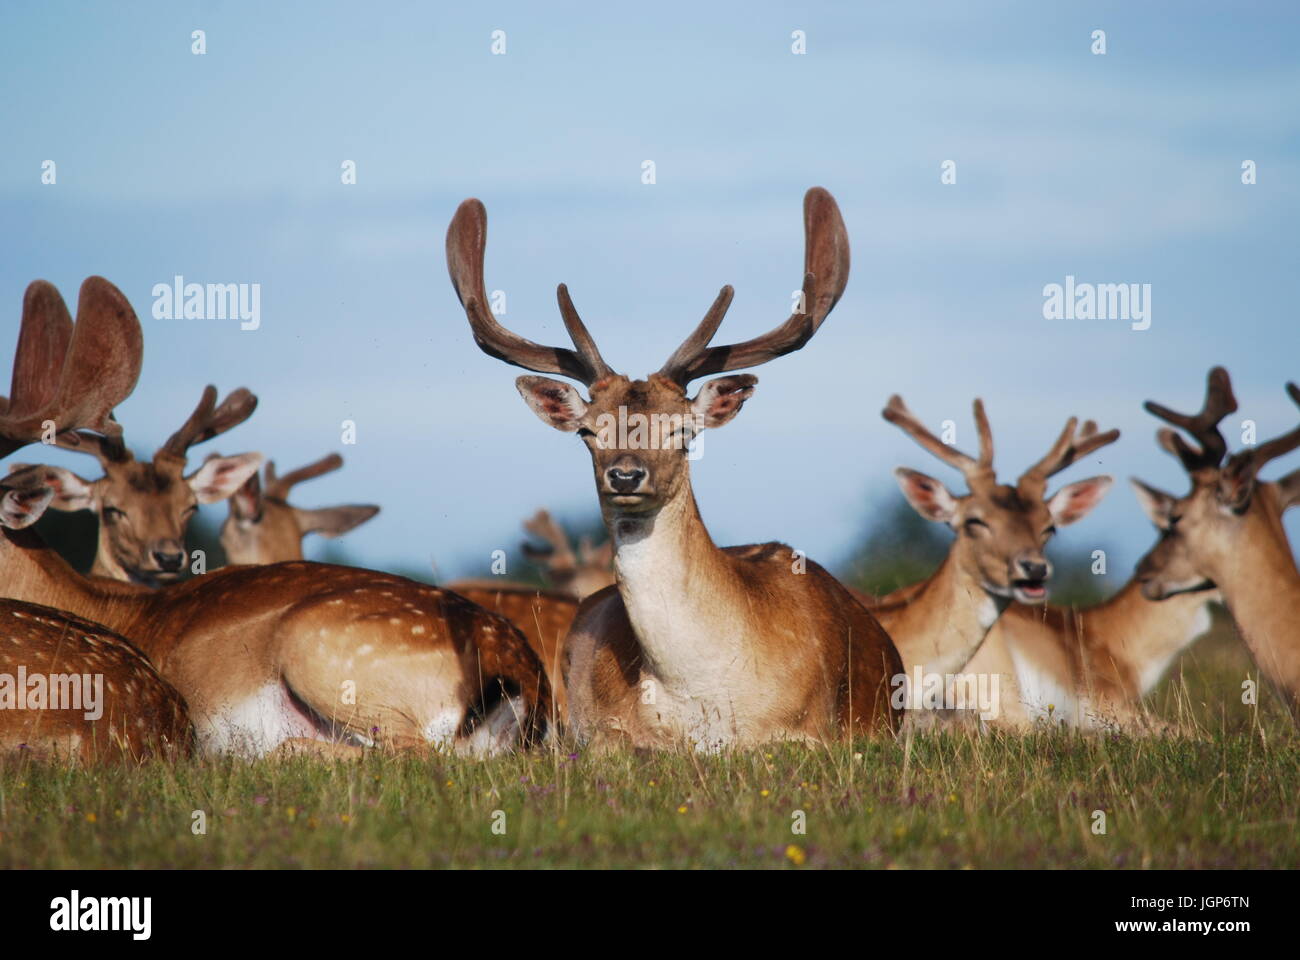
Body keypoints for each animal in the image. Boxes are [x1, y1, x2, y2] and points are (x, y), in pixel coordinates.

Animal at [446, 186, 903, 751]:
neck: (706, 701)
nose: (625, 476)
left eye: (683, 430)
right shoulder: (600, 735)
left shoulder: (812, 731)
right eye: (588, 431)